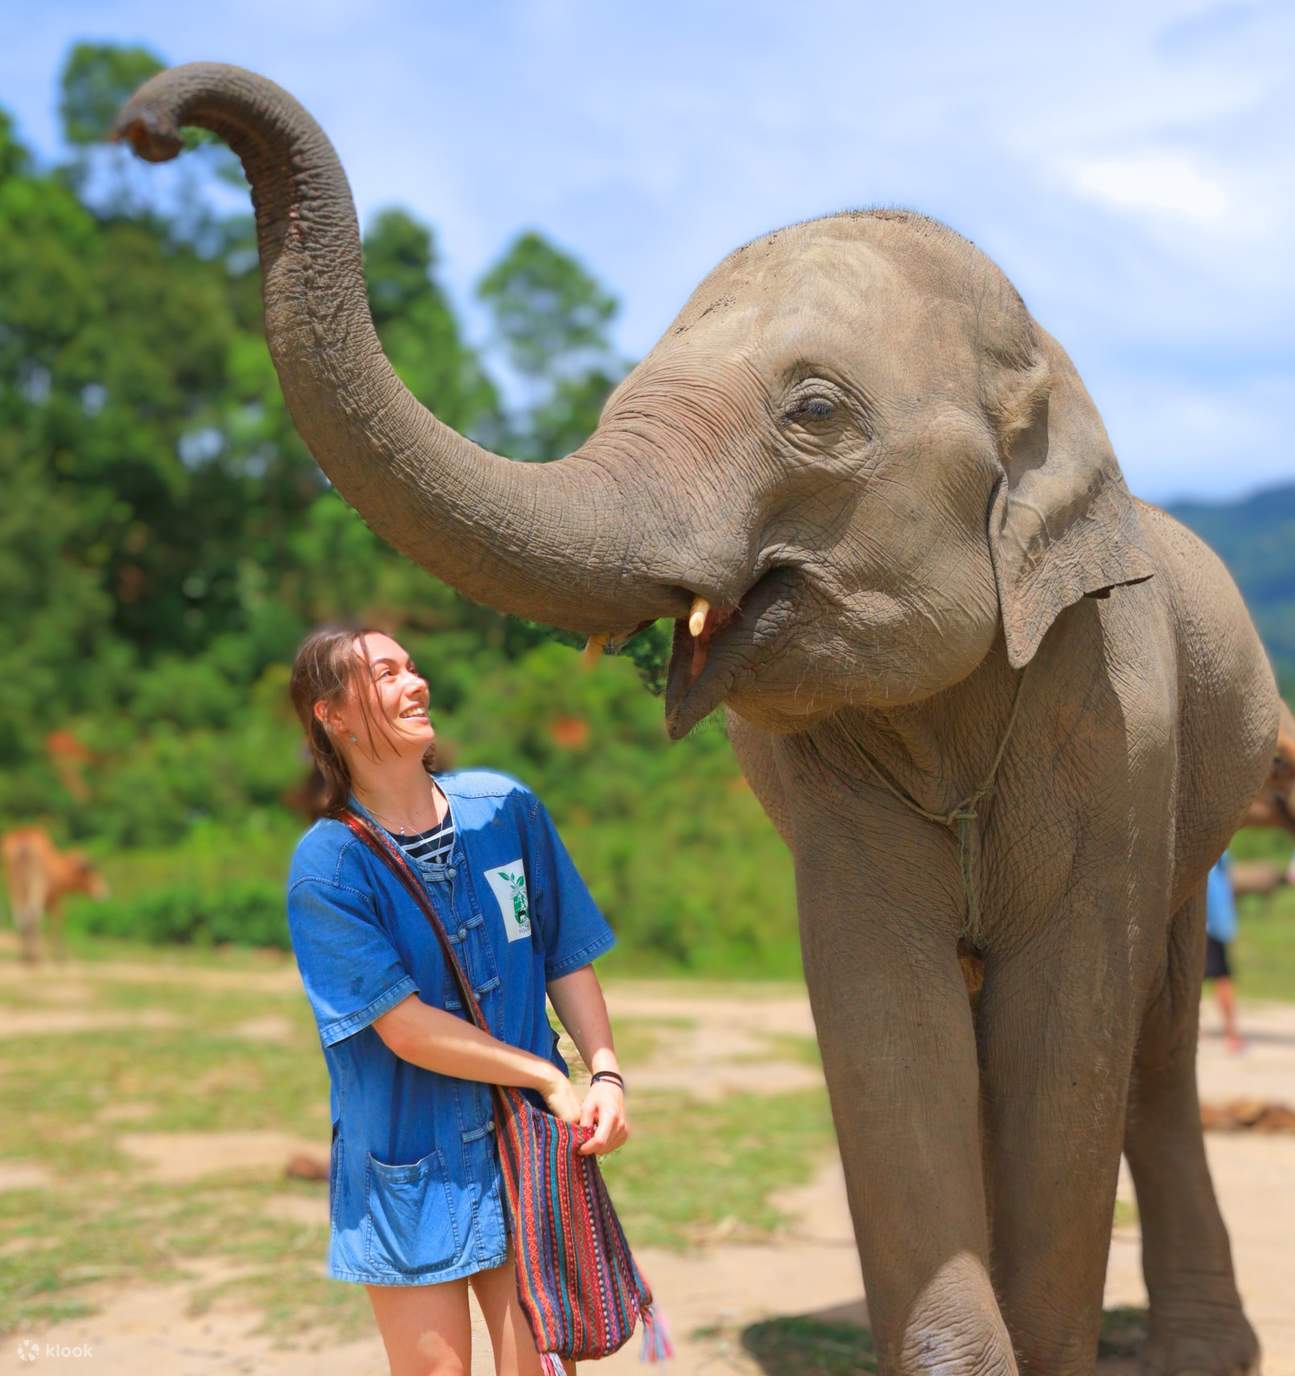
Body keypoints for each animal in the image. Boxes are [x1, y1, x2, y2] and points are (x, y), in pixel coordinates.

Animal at [112, 64, 1280, 1375]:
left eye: (814, 410)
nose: (149, 125)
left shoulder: (1116, 722)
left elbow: (1066, 1026)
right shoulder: (824, 786)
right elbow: (883, 1013)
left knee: (1152, 1042)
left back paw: (1199, 1346)